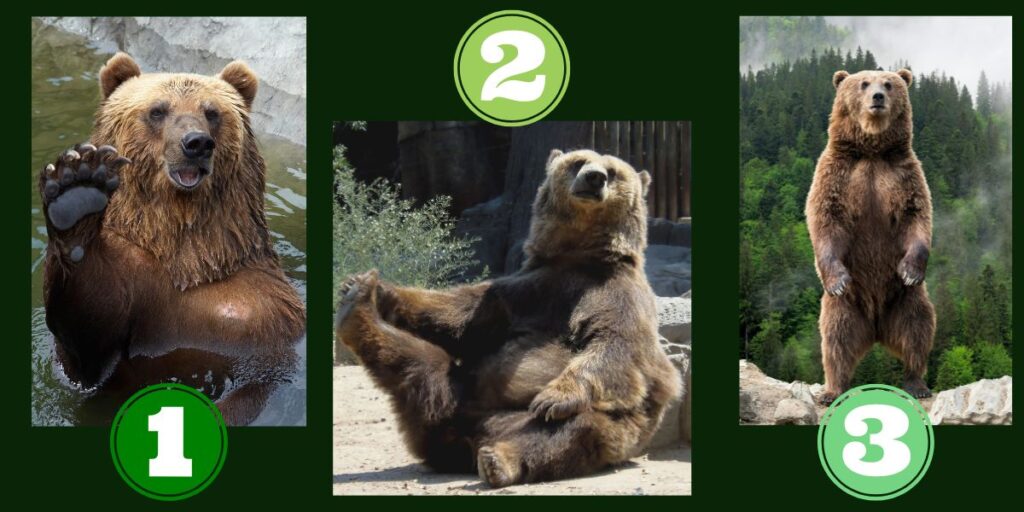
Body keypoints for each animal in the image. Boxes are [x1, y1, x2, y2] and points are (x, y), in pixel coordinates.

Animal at [39, 52, 305, 425]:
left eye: (212, 111)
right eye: (158, 110)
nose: (196, 143)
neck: (185, 259)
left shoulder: (259, 314)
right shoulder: (130, 276)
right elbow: (87, 343)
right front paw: (76, 192)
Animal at [335, 149, 681, 487]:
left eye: (612, 171)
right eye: (578, 162)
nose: (594, 178)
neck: (580, 256)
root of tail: (469, 437)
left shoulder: (615, 296)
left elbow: (615, 346)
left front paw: (554, 397)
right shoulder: (528, 289)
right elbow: (459, 314)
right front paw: (371, 286)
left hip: (589, 426)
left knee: (564, 431)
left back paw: (499, 460)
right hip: (457, 394)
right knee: (419, 364)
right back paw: (356, 307)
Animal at [805, 68, 935, 404]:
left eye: (888, 84)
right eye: (863, 83)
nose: (877, 97)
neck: (872, 150)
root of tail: (876, 329)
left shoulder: (904, 174)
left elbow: (916, 216)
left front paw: (910, 270)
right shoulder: (837, 174)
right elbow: (826, 219)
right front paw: (837, 279)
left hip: (905, 300)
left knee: (918, 329)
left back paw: (917, 383)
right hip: (846, 308)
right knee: (835, 341)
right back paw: (832, 390)